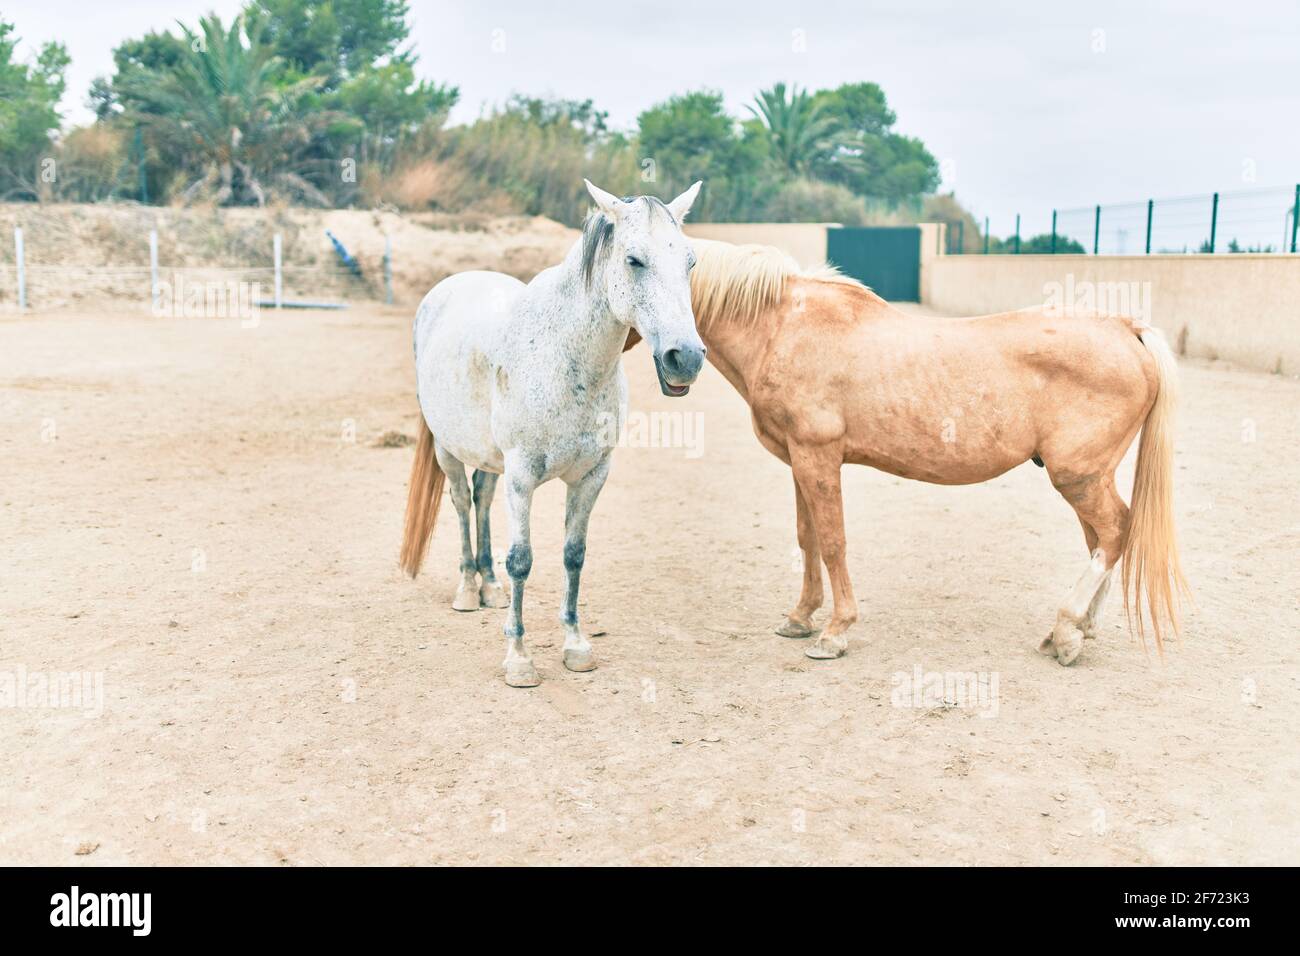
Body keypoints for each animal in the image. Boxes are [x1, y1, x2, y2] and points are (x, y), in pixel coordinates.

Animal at [400, 180, 705, 687]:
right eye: (634, 260)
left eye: (690, 262)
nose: (686, 358)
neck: (564, 357)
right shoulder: (523, 477)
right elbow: (522, 560)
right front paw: (519, 657)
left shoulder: (591, 476)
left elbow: (573, 556)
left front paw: (575, 645)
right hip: (448, 450)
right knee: (462, 505)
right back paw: (467, 589)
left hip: (492, 461)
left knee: (483, 499)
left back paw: (490, 587)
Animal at [625, 239, 1188, 665]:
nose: (678, 362)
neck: (784, 327)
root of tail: (1126, 329)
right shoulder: (799, 461)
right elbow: (809, 540)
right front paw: (800, 618)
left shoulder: (817, 456)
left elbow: (833, 542)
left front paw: (835, 632)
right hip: (1086, 476)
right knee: (1100, 539)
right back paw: (1079, 629)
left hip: (1078, 475)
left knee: (1113, 532)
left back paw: (1068, 630)